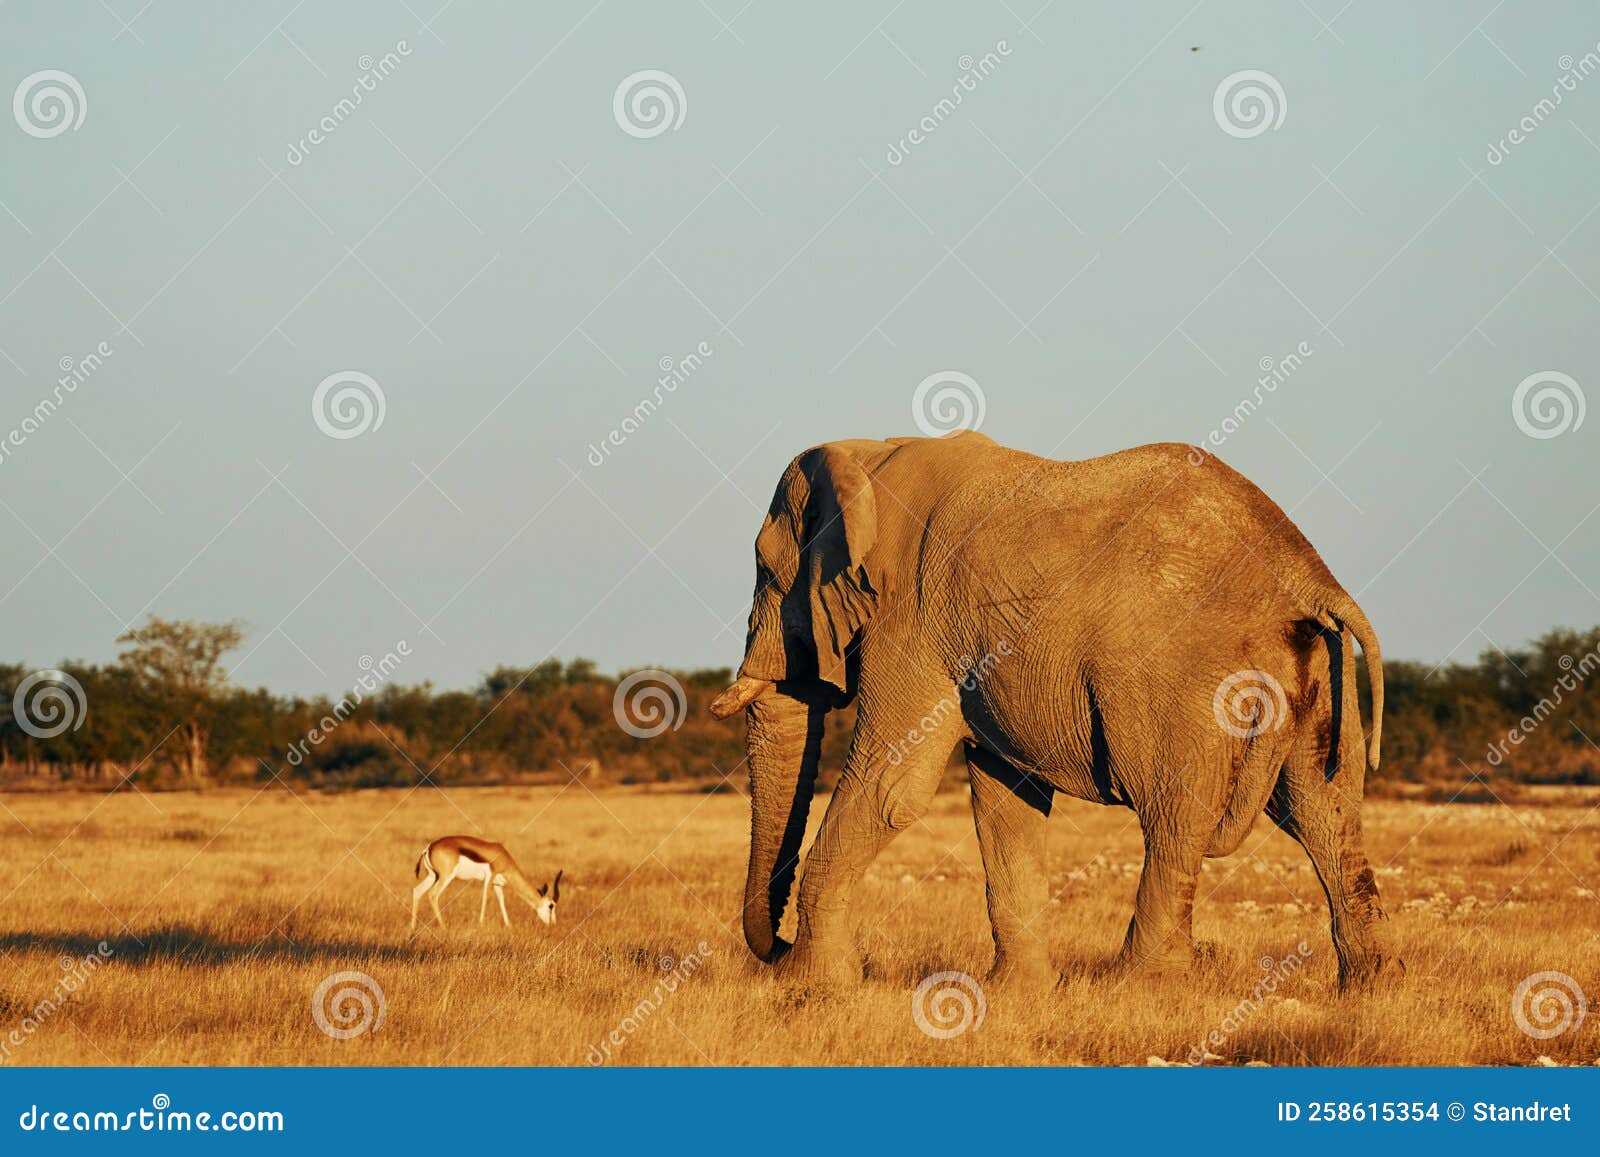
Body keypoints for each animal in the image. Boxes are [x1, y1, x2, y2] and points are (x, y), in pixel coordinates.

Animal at [710, 432, 1394, 992]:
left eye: (766, 571)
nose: (778, 945)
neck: (870, 456)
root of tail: (1308, 578)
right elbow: (1005, 799)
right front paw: (1020, 994)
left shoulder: (911, 620)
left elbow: (892, 788)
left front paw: (811, 987)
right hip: (1317, 674)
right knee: (1323, 809)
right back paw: (1370, 988)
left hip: (1190, 680)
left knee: (1175, 814)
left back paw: (1134, 989)